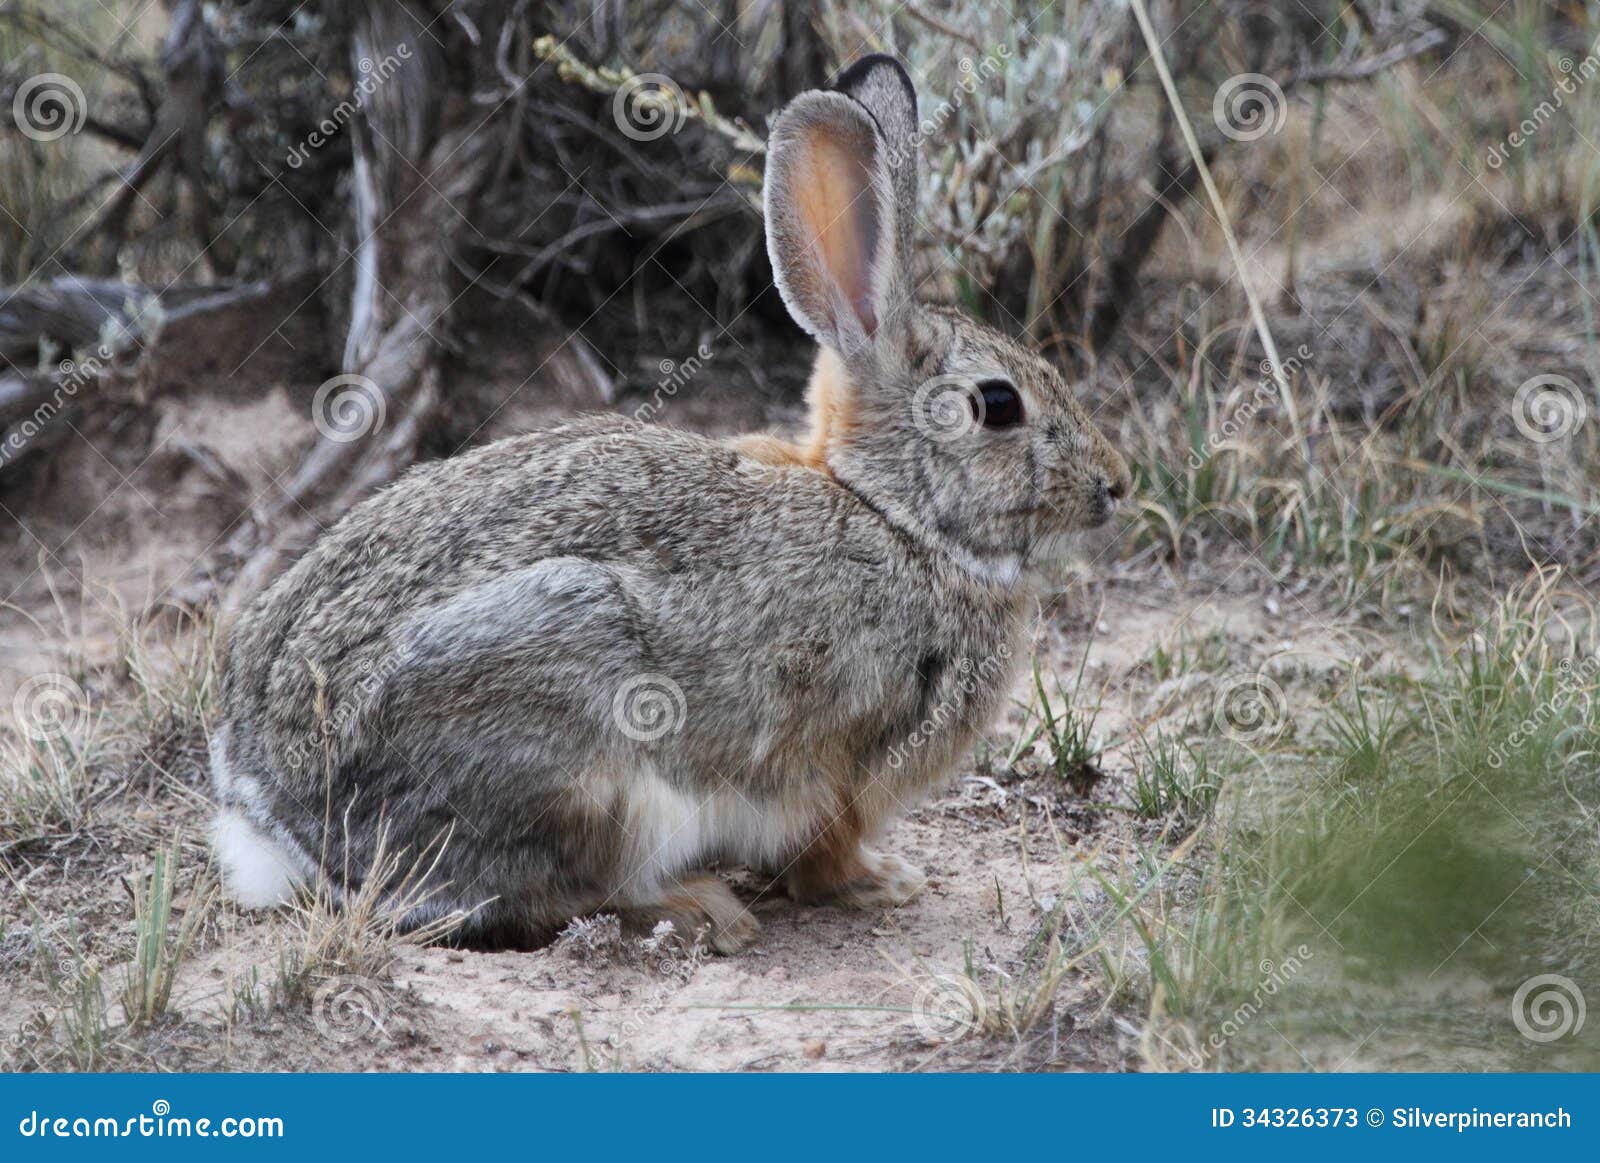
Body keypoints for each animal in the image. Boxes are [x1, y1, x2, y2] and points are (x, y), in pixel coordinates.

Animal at [209, 54, 1131, 953]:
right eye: (999, 404)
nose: (1115, 484)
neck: (892, 513)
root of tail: (274, 814)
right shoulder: (838, 768)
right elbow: (822, 851)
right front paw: (882, 883)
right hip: (580, 727)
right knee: (557, 894)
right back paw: (705, 910)